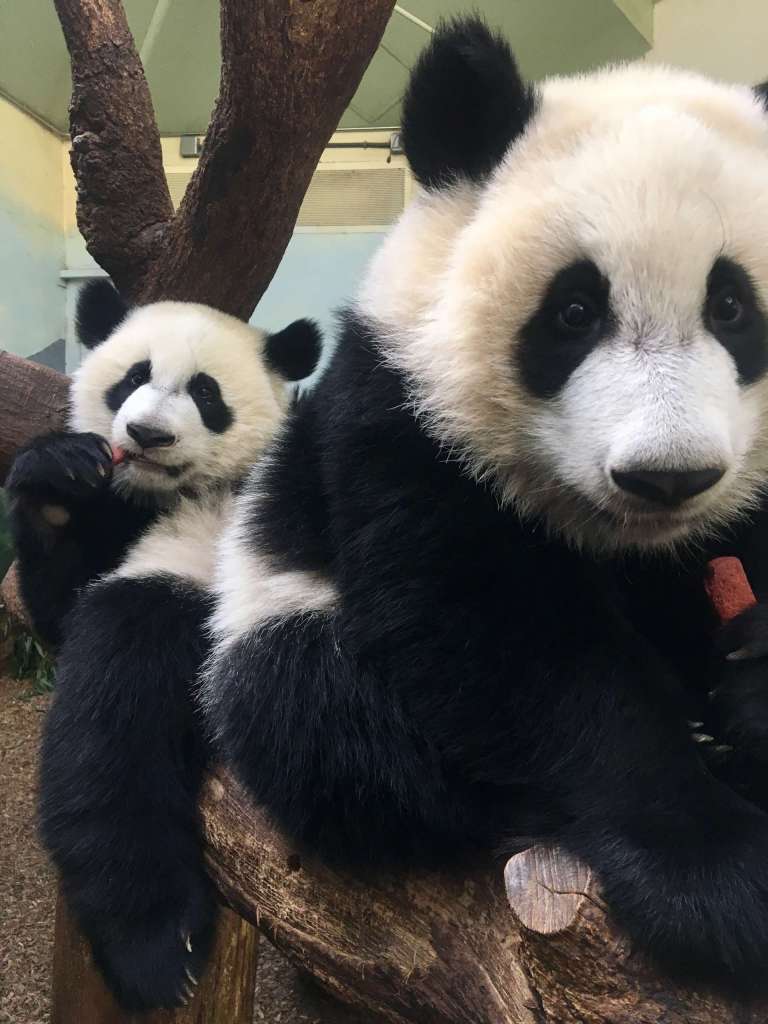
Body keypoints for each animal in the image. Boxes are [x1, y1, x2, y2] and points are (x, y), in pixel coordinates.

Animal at [6, 279, 320, 1010]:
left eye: (207, 393)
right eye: (132, 378)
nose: (147, 435)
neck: (176, 497)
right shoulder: (116, 523)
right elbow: (60, 606)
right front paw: (57, 477)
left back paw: (156, 949)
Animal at [200, 18, 768, 997]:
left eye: (733, 306)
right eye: (574, 312)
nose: (668, 478)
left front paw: (748, 688)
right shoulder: (407, 420)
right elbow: (502, 640)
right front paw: (715, 878)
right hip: (269, 620)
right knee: (327, 722)